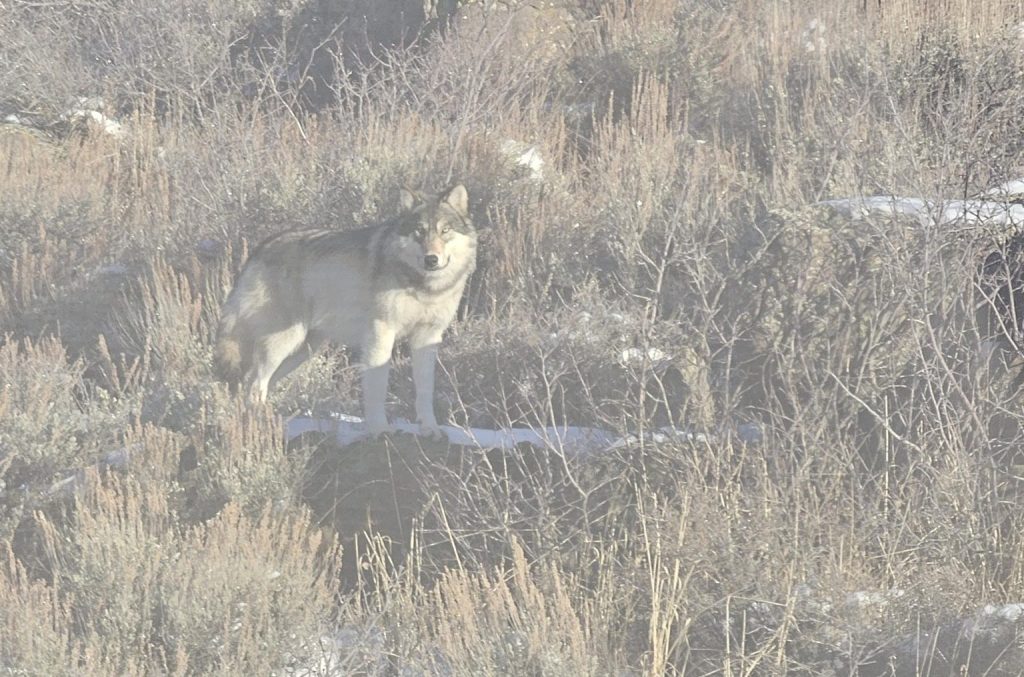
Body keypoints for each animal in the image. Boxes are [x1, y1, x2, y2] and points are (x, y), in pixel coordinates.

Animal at [214, 184, 476, 437]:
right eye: (419, 232)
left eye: (445, 231)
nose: (431, 259)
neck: (424, 286)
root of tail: (260, 248)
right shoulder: (381, 332)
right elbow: (378, 385)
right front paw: (379, 429)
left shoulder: (428, 337)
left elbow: (425, 390)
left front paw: (430, 429)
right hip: (282, 344)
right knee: (254, 385)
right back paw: (260, 427)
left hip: (301, 351)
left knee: (254, 385)